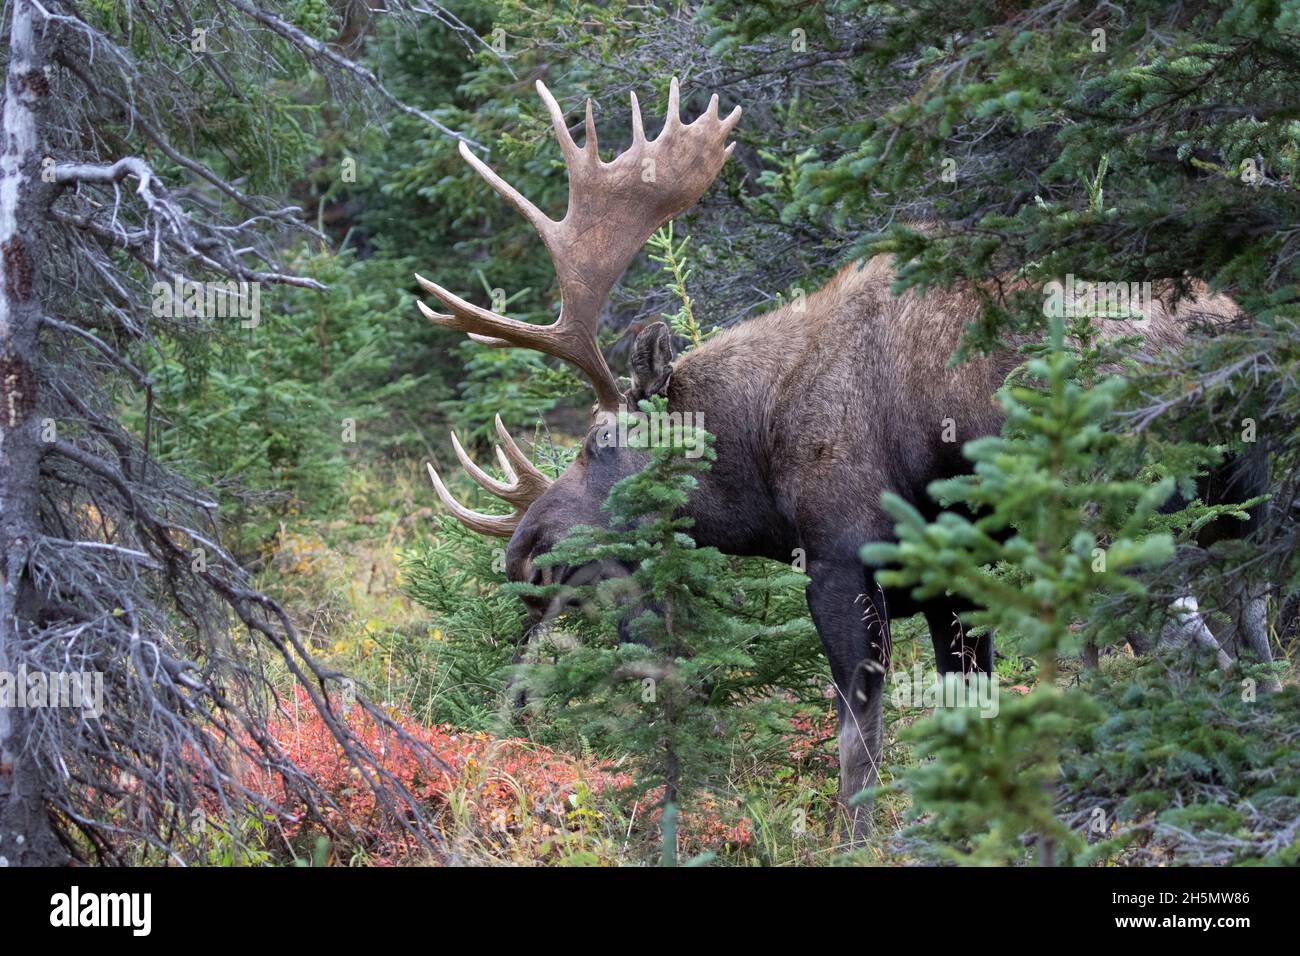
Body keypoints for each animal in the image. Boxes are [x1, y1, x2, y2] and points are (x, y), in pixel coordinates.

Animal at [414, 78, 1273, 843]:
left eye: (598, 443)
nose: (524, 551)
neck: (760, 452)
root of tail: (1219, 343)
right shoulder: (953, 581)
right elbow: (970, 710)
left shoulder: (840, 559)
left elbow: (858, 743)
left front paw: (853, 841)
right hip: (1243, 515)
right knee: (1255, 644)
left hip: (1124, 523)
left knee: (1184, 655)